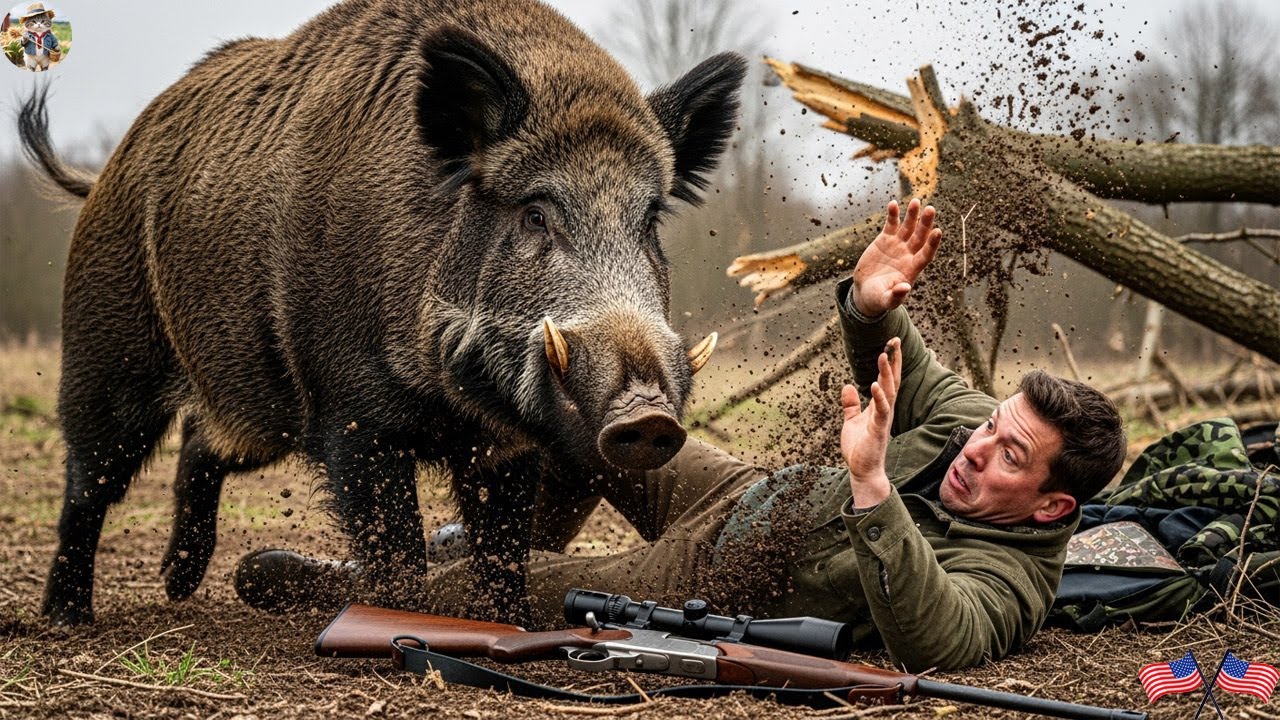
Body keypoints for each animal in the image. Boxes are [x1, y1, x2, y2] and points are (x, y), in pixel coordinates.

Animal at [19, 0, 744, 626]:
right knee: (89, 481)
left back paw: (178, 584)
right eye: (535, 214)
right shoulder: (353, 414)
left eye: (648, 221)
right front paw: (403, 623)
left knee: (202, 439)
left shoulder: (503, 446)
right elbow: (394, 542)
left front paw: (514, 625)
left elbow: (503, 546)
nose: (648, 418)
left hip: (262, 398)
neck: (451, 405)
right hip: (105, 347)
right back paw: (66, 618)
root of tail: (107, 168)